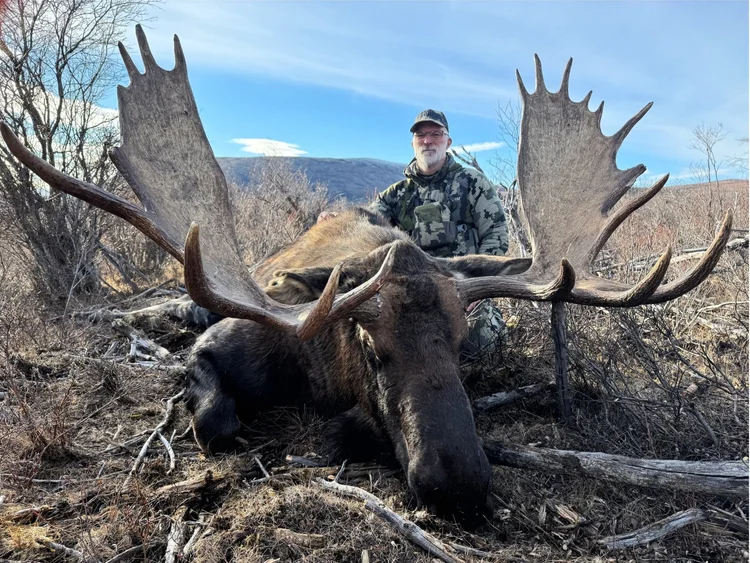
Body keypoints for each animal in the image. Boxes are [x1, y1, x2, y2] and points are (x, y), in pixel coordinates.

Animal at [0, 26, 731, 521]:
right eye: (374, 350)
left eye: (460, 349)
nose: (459, 482)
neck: (321, 368)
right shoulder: (223, 344)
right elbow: (215, 420)